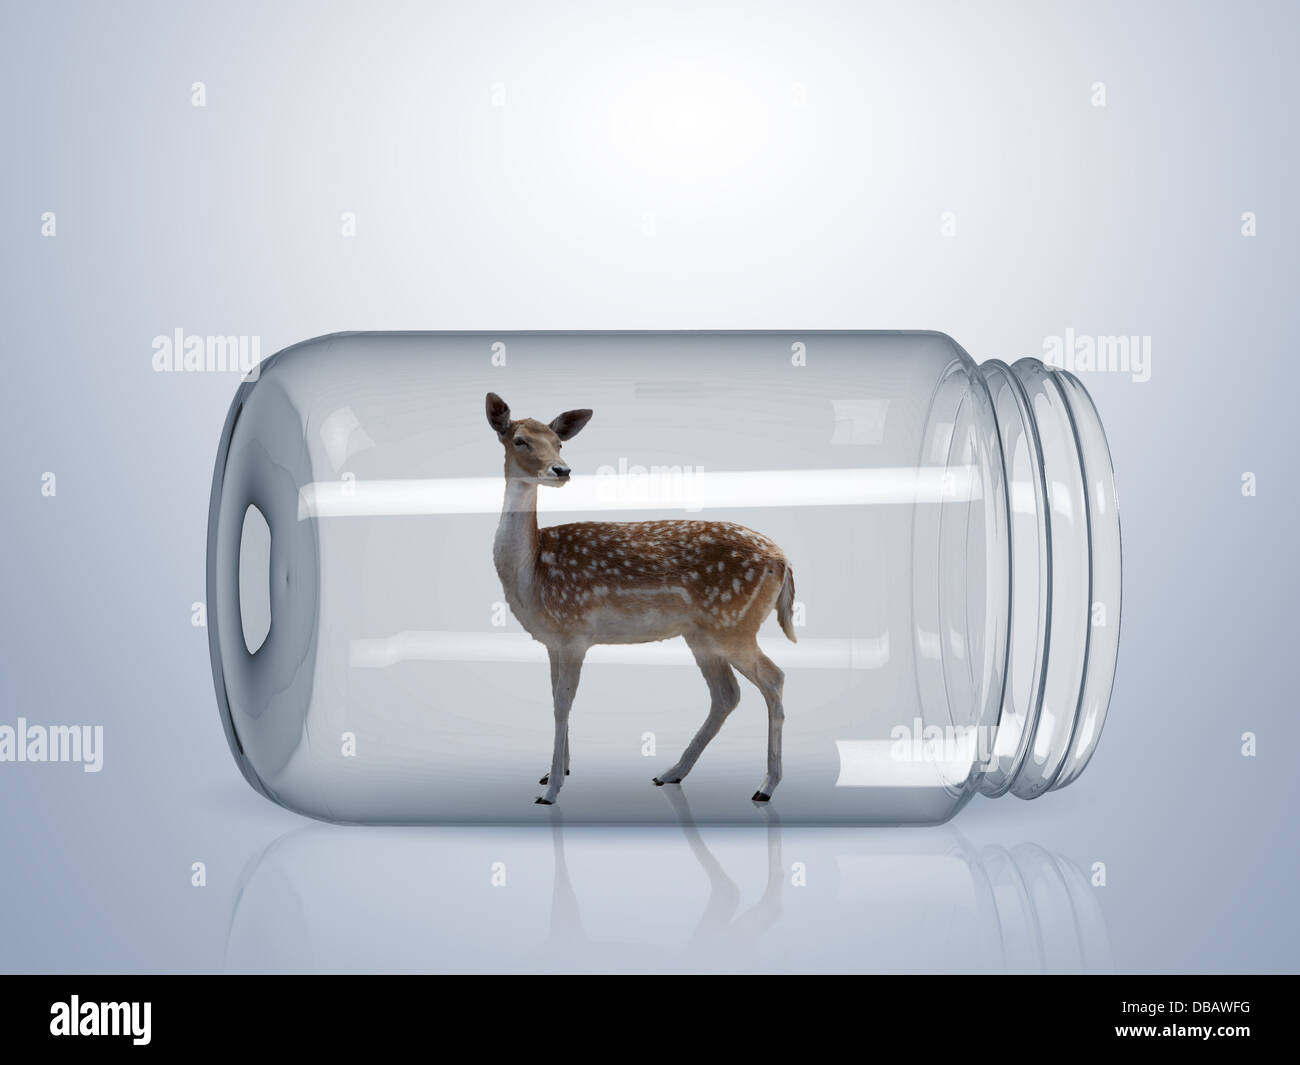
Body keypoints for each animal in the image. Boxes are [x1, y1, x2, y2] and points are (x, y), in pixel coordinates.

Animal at [486, 392, 798, 806]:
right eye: (520, 440)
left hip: (734, 624)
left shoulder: (575, 632)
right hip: (702, 634)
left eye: (559, 443)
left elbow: (562, 704)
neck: (532, 574)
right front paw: (554, 772)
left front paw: (550, 790)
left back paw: (765, 786)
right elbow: (556, 698)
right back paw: (671, 772)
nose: (561, 470)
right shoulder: (553, 640)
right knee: (726, 694)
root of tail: (783, 560)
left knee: (773, 678)